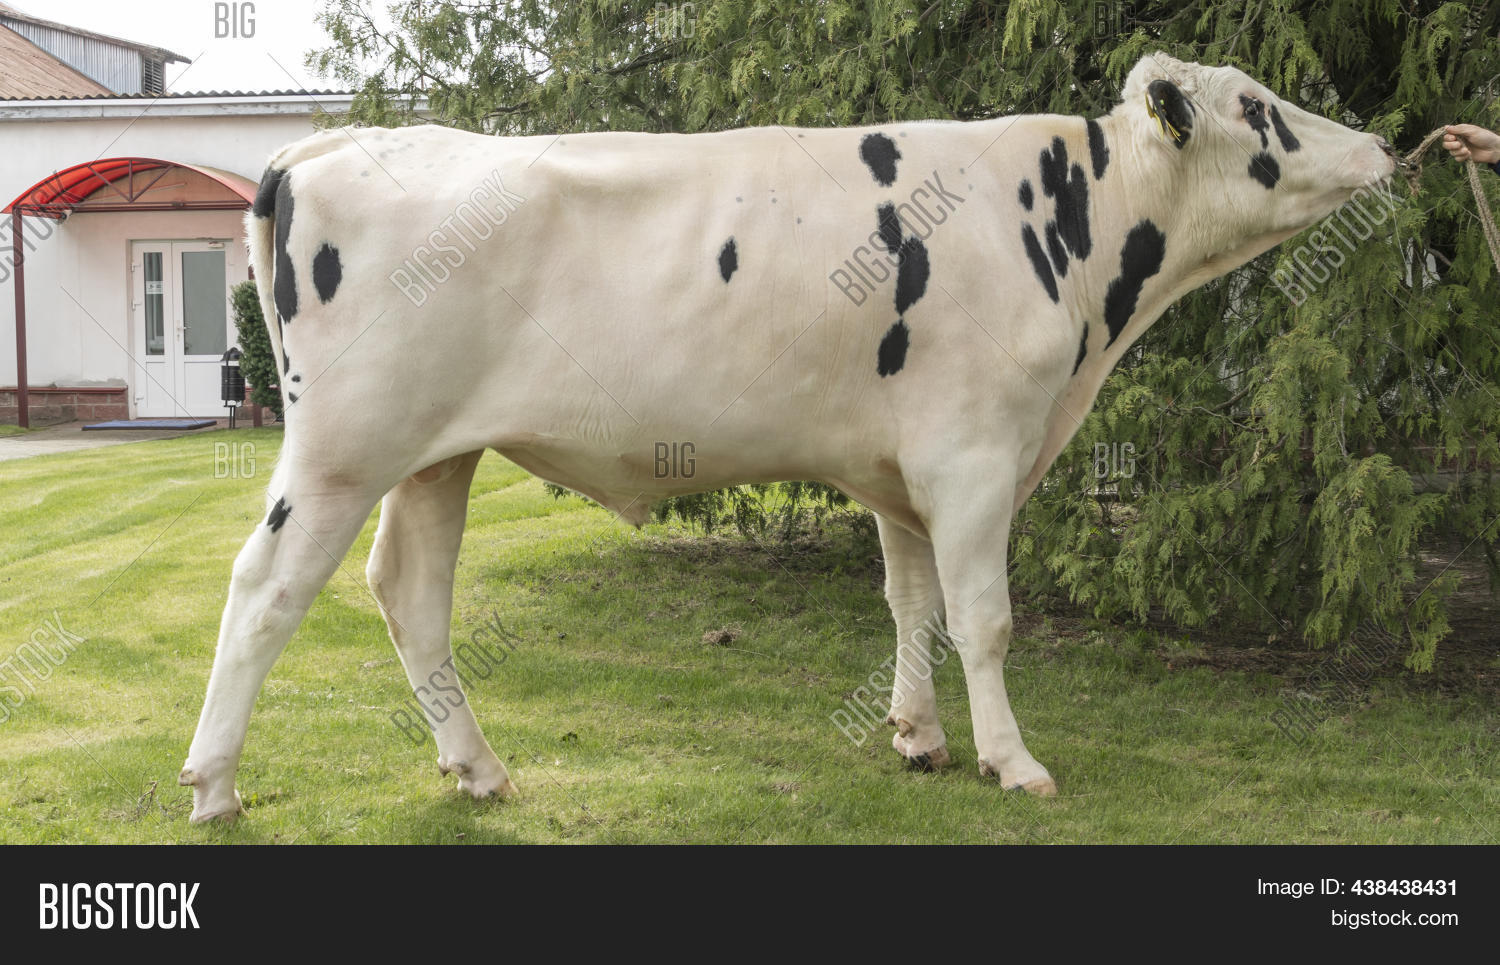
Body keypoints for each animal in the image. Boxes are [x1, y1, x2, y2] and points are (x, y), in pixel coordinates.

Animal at [179, 52, 1396, 822]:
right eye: (1259, 106)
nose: (1384, 143)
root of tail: (331, 145)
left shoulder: (902, 465)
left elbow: (912, 603)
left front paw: (918, 736)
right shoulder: (974, 453)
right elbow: (986, 619)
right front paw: (1012, 761)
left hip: (434, 453)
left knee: (410, 590)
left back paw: (477, 769)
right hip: (344, 447)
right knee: (263, 586)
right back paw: (215, 784)